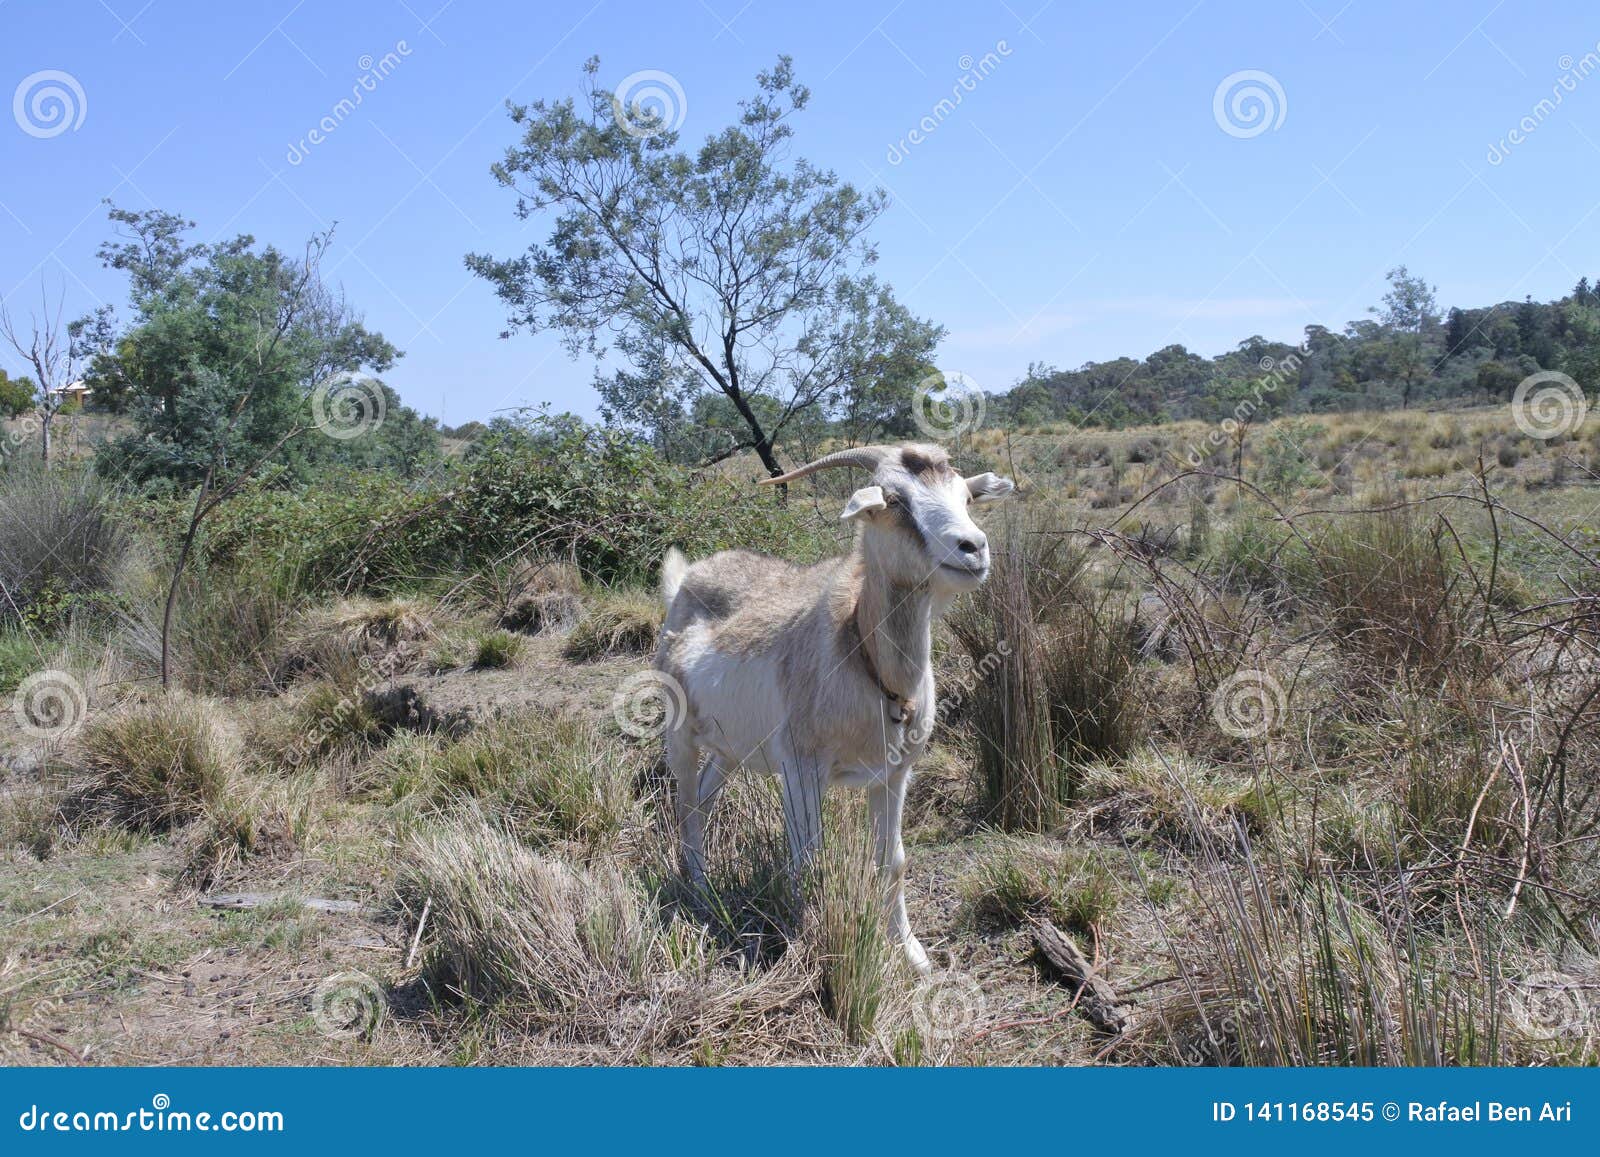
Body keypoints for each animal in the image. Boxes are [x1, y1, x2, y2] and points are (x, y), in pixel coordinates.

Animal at [654, 442, 1015, 973]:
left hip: (730, 749)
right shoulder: (802, 771)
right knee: (684, 805)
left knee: (702, 798)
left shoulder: (893, 775)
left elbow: (893, 861)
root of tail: (684, 581)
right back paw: (697, 892)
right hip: (680, 737)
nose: (972, 547)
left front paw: (912, 954)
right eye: (894, 499)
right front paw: (807, 949)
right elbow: (808, 859)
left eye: (966, 496)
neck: (863, 653)